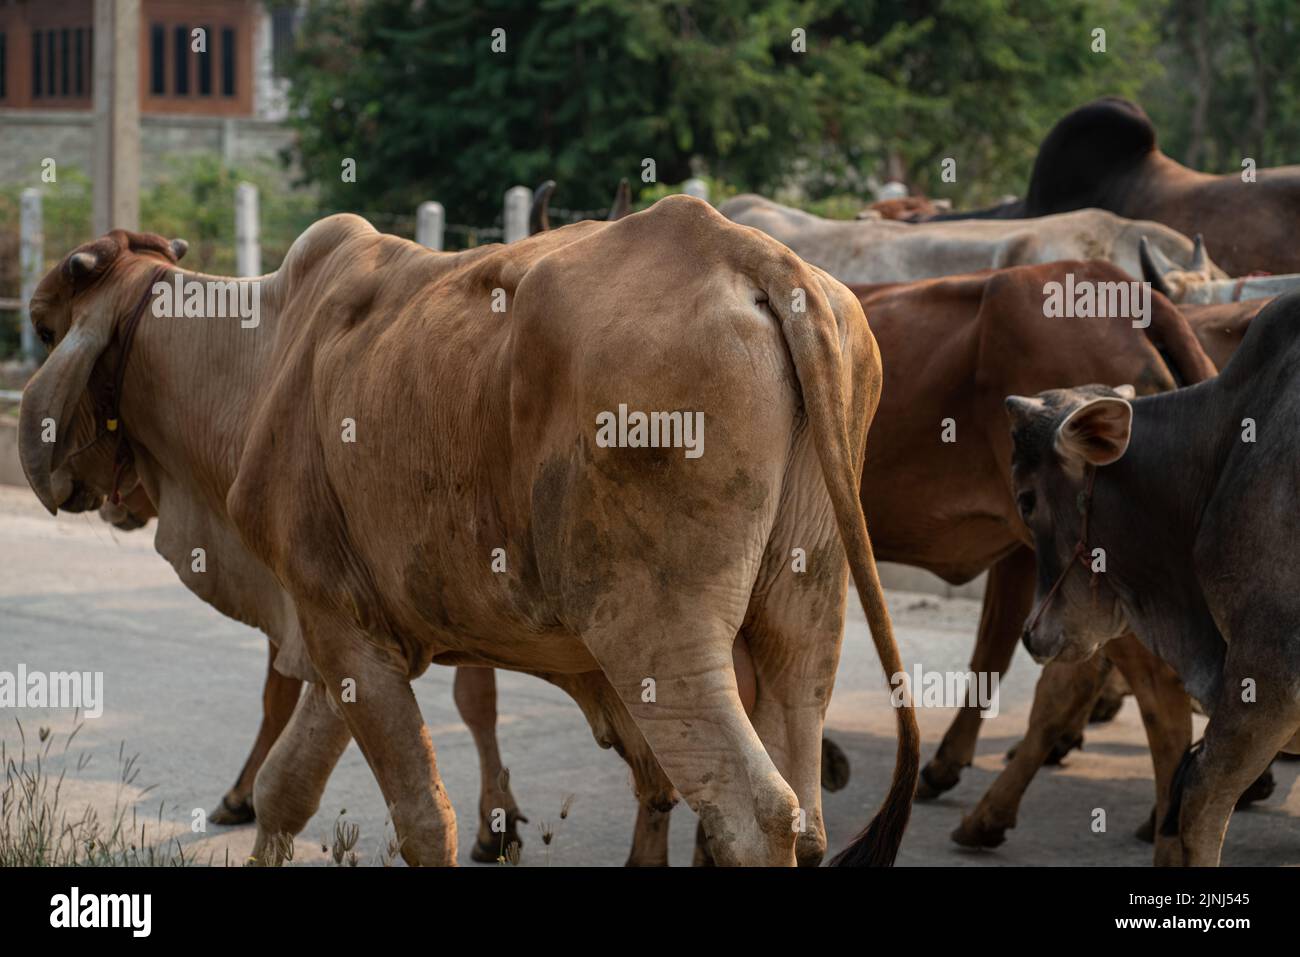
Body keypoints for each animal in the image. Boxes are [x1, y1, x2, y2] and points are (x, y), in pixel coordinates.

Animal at [19, 195, 917, 867]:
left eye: (43, 328)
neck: (260, 354)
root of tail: (747, 253)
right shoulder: (342, 632)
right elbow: (284, 790)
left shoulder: (341, 632)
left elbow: (423, 818)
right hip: (804, 615)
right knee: (803, 805)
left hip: (659, 639)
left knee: (751, 813)